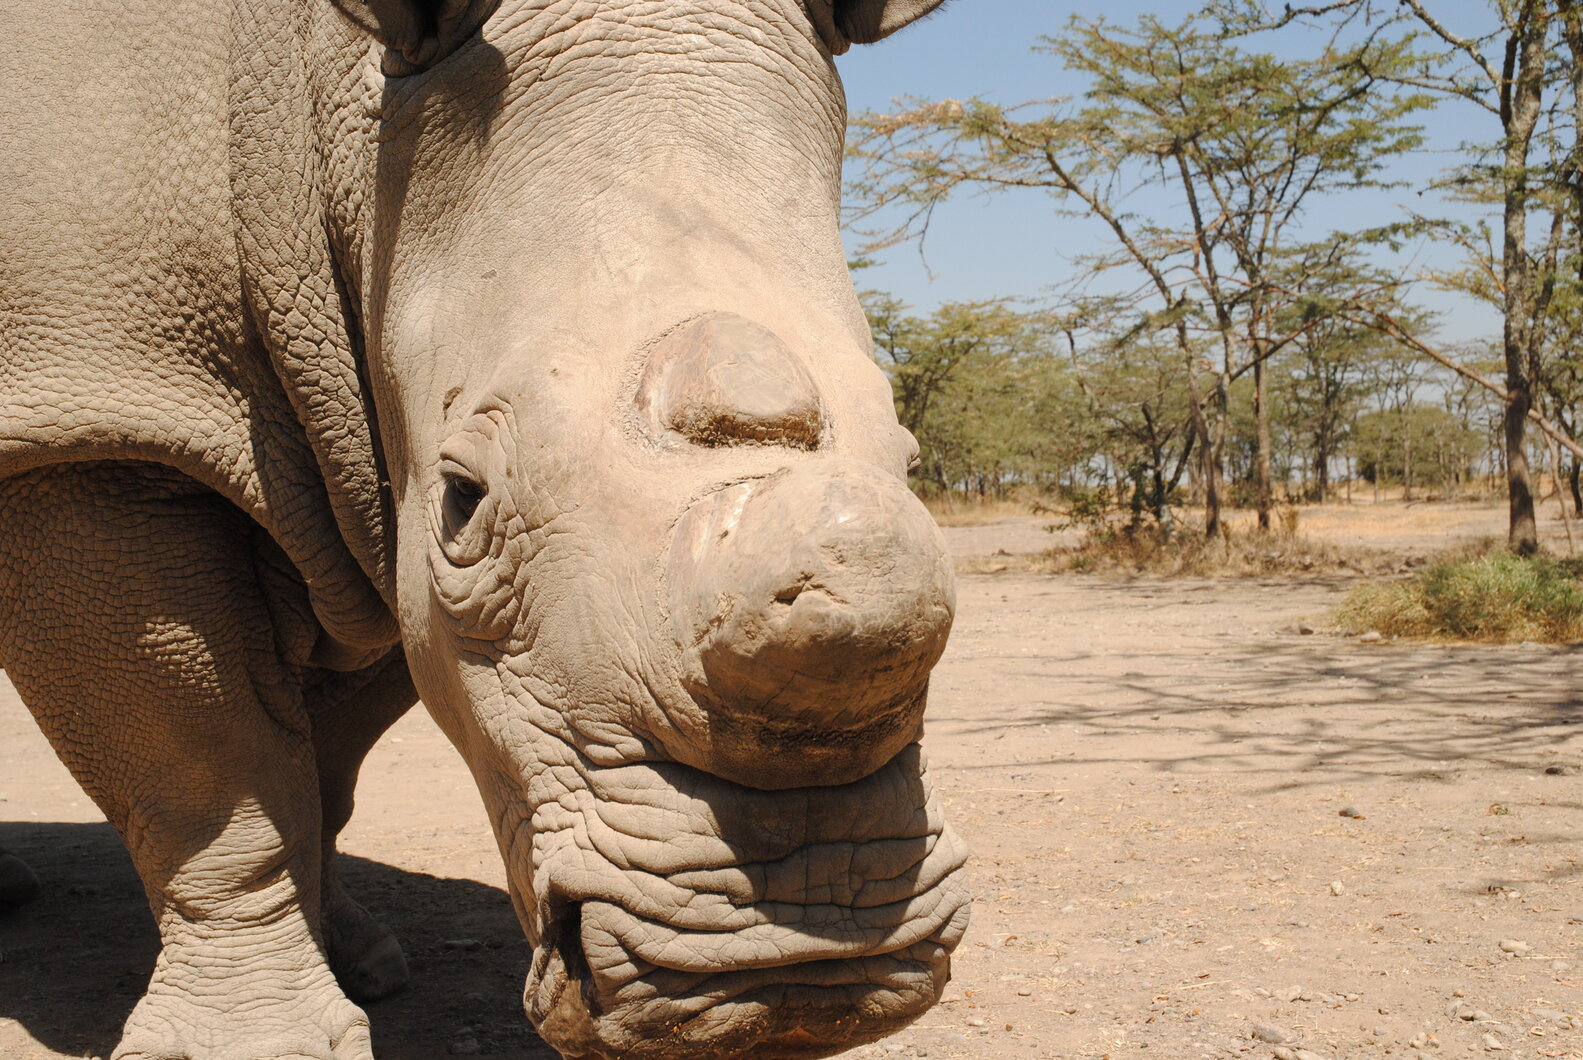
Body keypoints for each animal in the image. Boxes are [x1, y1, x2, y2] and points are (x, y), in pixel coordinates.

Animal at [0, 0, 968, 1057]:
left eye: (912, 460)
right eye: (463, 498)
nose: (794, 980)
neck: (339, 123)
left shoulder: (371, 495)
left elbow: (321, 763)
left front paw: (366, 964)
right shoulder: (105, 414)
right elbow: (211, 776)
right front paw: (256, 1041)